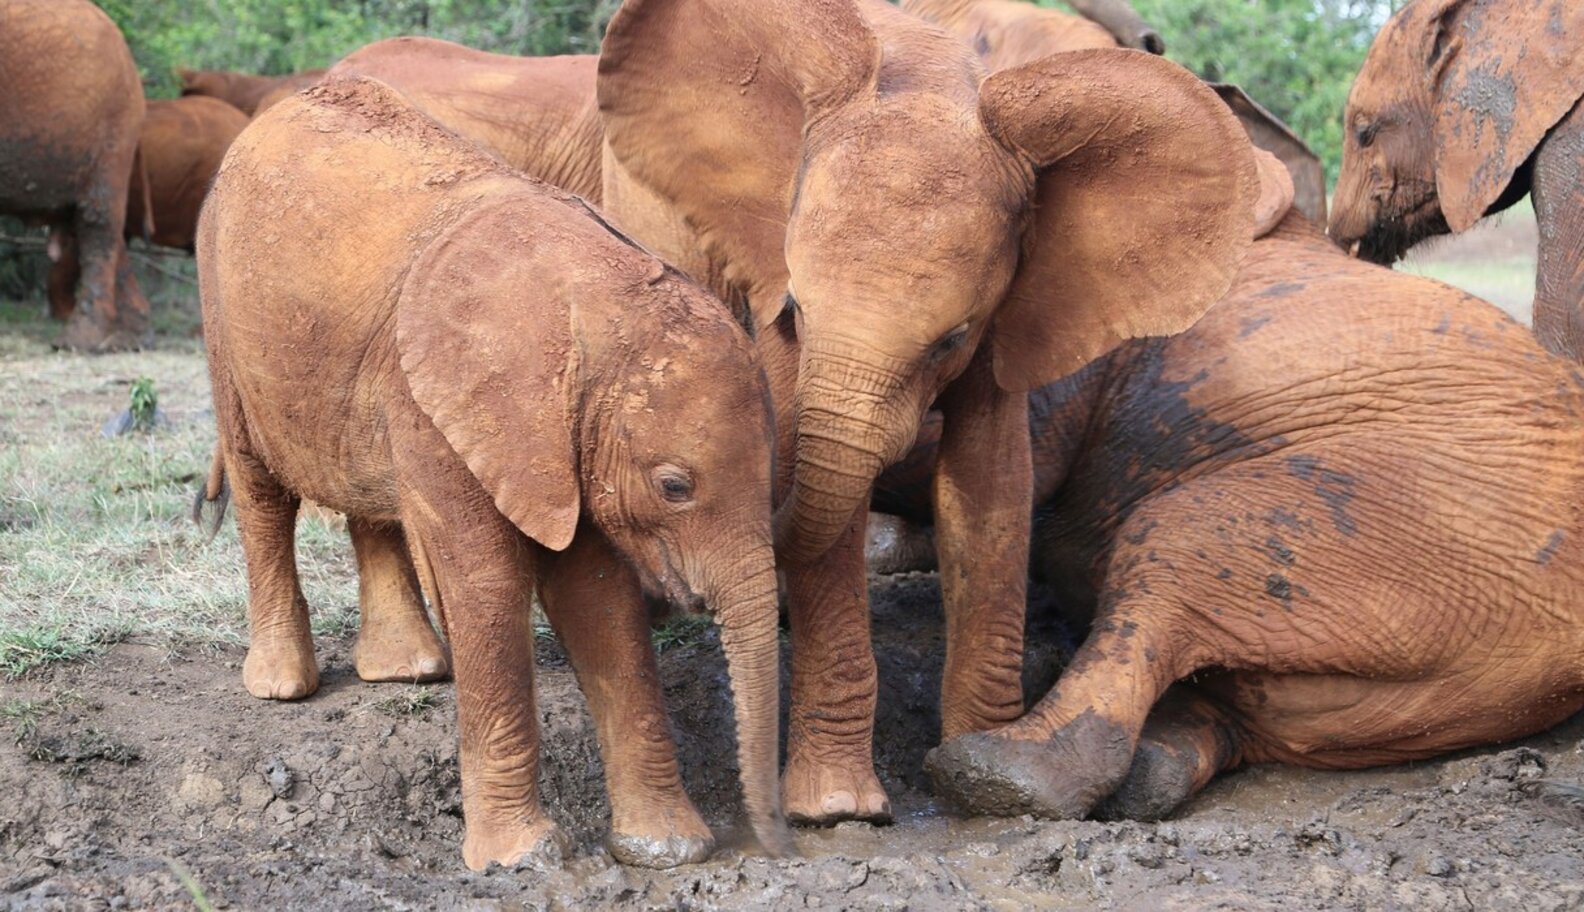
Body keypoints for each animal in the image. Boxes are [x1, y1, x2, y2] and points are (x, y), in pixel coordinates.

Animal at [196, 77, 790, 870]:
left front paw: (665, 849)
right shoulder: (445, 404)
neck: (595, 300)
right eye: (674, 487)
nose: (781, 844)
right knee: (261, 488)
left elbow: (597, 595)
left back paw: (410, 671)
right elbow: (489, 583)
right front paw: (523, 859)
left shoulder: (558, 442)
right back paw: (284, 687)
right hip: (222, 313)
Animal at [595, 0, 1269, 824]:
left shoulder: (1011, 311)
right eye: (797, 310)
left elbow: (992, 487)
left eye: (951, 337)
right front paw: (840, 810)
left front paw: (977, 772)